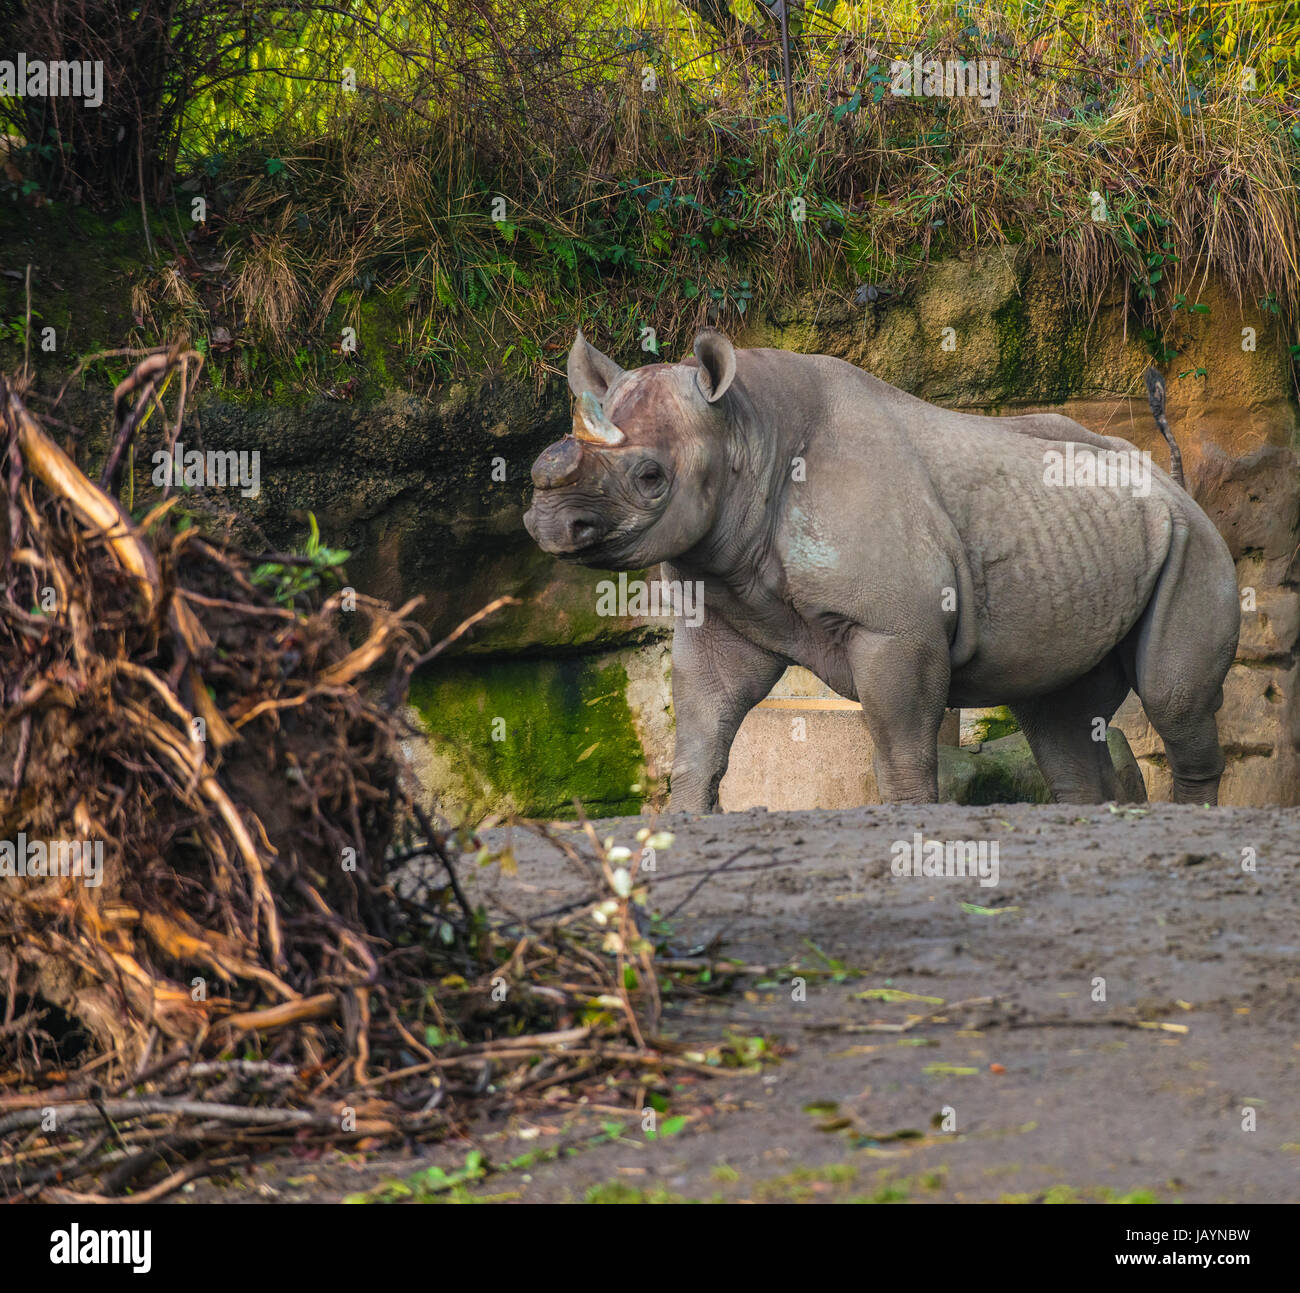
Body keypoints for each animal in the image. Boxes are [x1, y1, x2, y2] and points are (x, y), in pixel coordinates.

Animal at [524, 330, 1240, 811]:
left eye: (651, 478)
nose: (550, 523)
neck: (745, 434)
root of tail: (1173, 484)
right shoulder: (721, 609)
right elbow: (702, 735)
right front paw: (685, 825)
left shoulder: (897, 629)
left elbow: (899, 749)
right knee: (1058, 716)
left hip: (1195, 545)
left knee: (1172, 700)